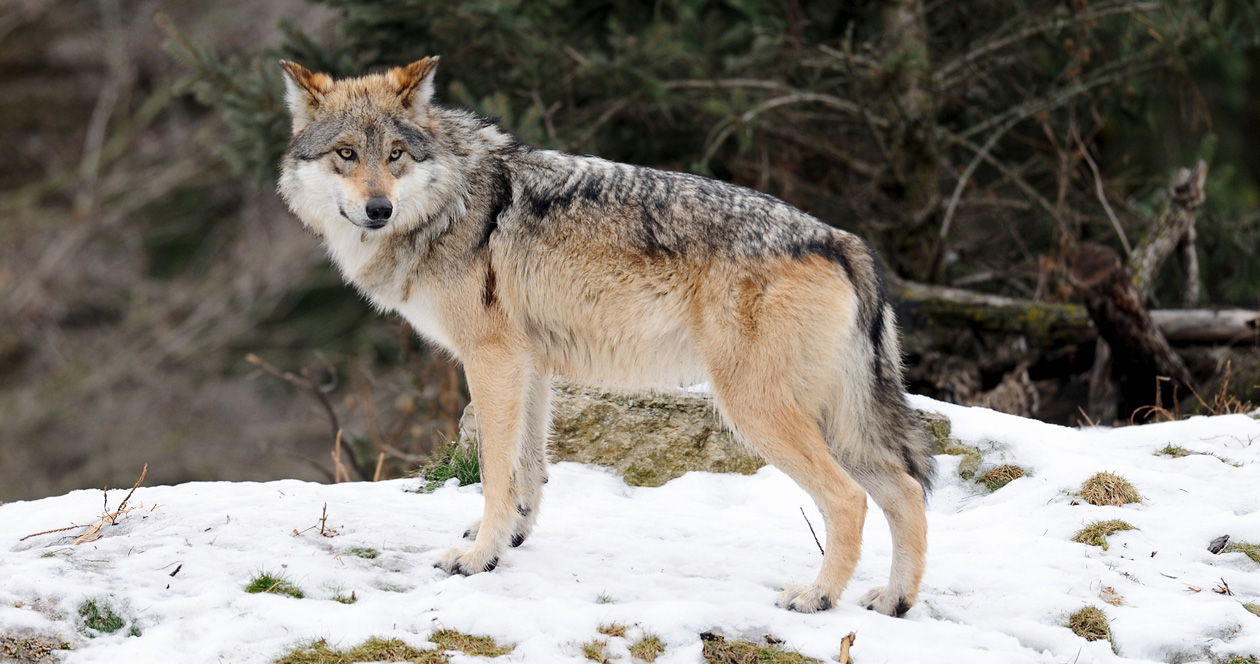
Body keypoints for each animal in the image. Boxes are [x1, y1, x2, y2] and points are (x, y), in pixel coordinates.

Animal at [277, 57, 934, 617]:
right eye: (346, 153)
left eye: (395, 154)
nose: (379, 209)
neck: (453, 199)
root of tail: (840, 240)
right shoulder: (530, 365)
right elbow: (527, 468)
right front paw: (511, 539)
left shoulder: (492, 361)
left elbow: (493, 470)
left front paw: (477, 558)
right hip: (833, 421)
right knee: (906, 492)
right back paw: (895, 601)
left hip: (759, 411)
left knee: (850, 499)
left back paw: (817, 597)